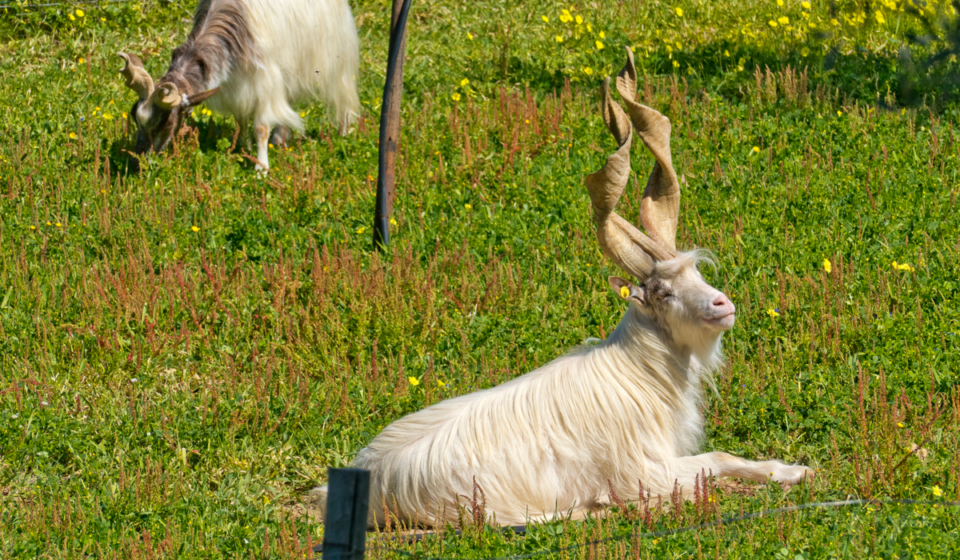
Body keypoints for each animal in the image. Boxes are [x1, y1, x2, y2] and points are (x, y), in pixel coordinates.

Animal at [118, 0, 360, 171]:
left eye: (166, 123)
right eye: (136, 119)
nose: (137, 163)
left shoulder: (264, 80)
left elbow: (261, 127)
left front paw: (261, 169)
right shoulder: (236, 84)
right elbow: (241, 119)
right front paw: (244, 147)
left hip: (333, 50)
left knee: (342, 90)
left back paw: (344, 131)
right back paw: (281, 137)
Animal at [308, 48, 812, 527]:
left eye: (697, 275)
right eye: (663, 292)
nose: (722, 305)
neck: (638, 372)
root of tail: (369, 482)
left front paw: (795, 470)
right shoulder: (645, 470)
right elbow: (715, 459)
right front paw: (791, 472)